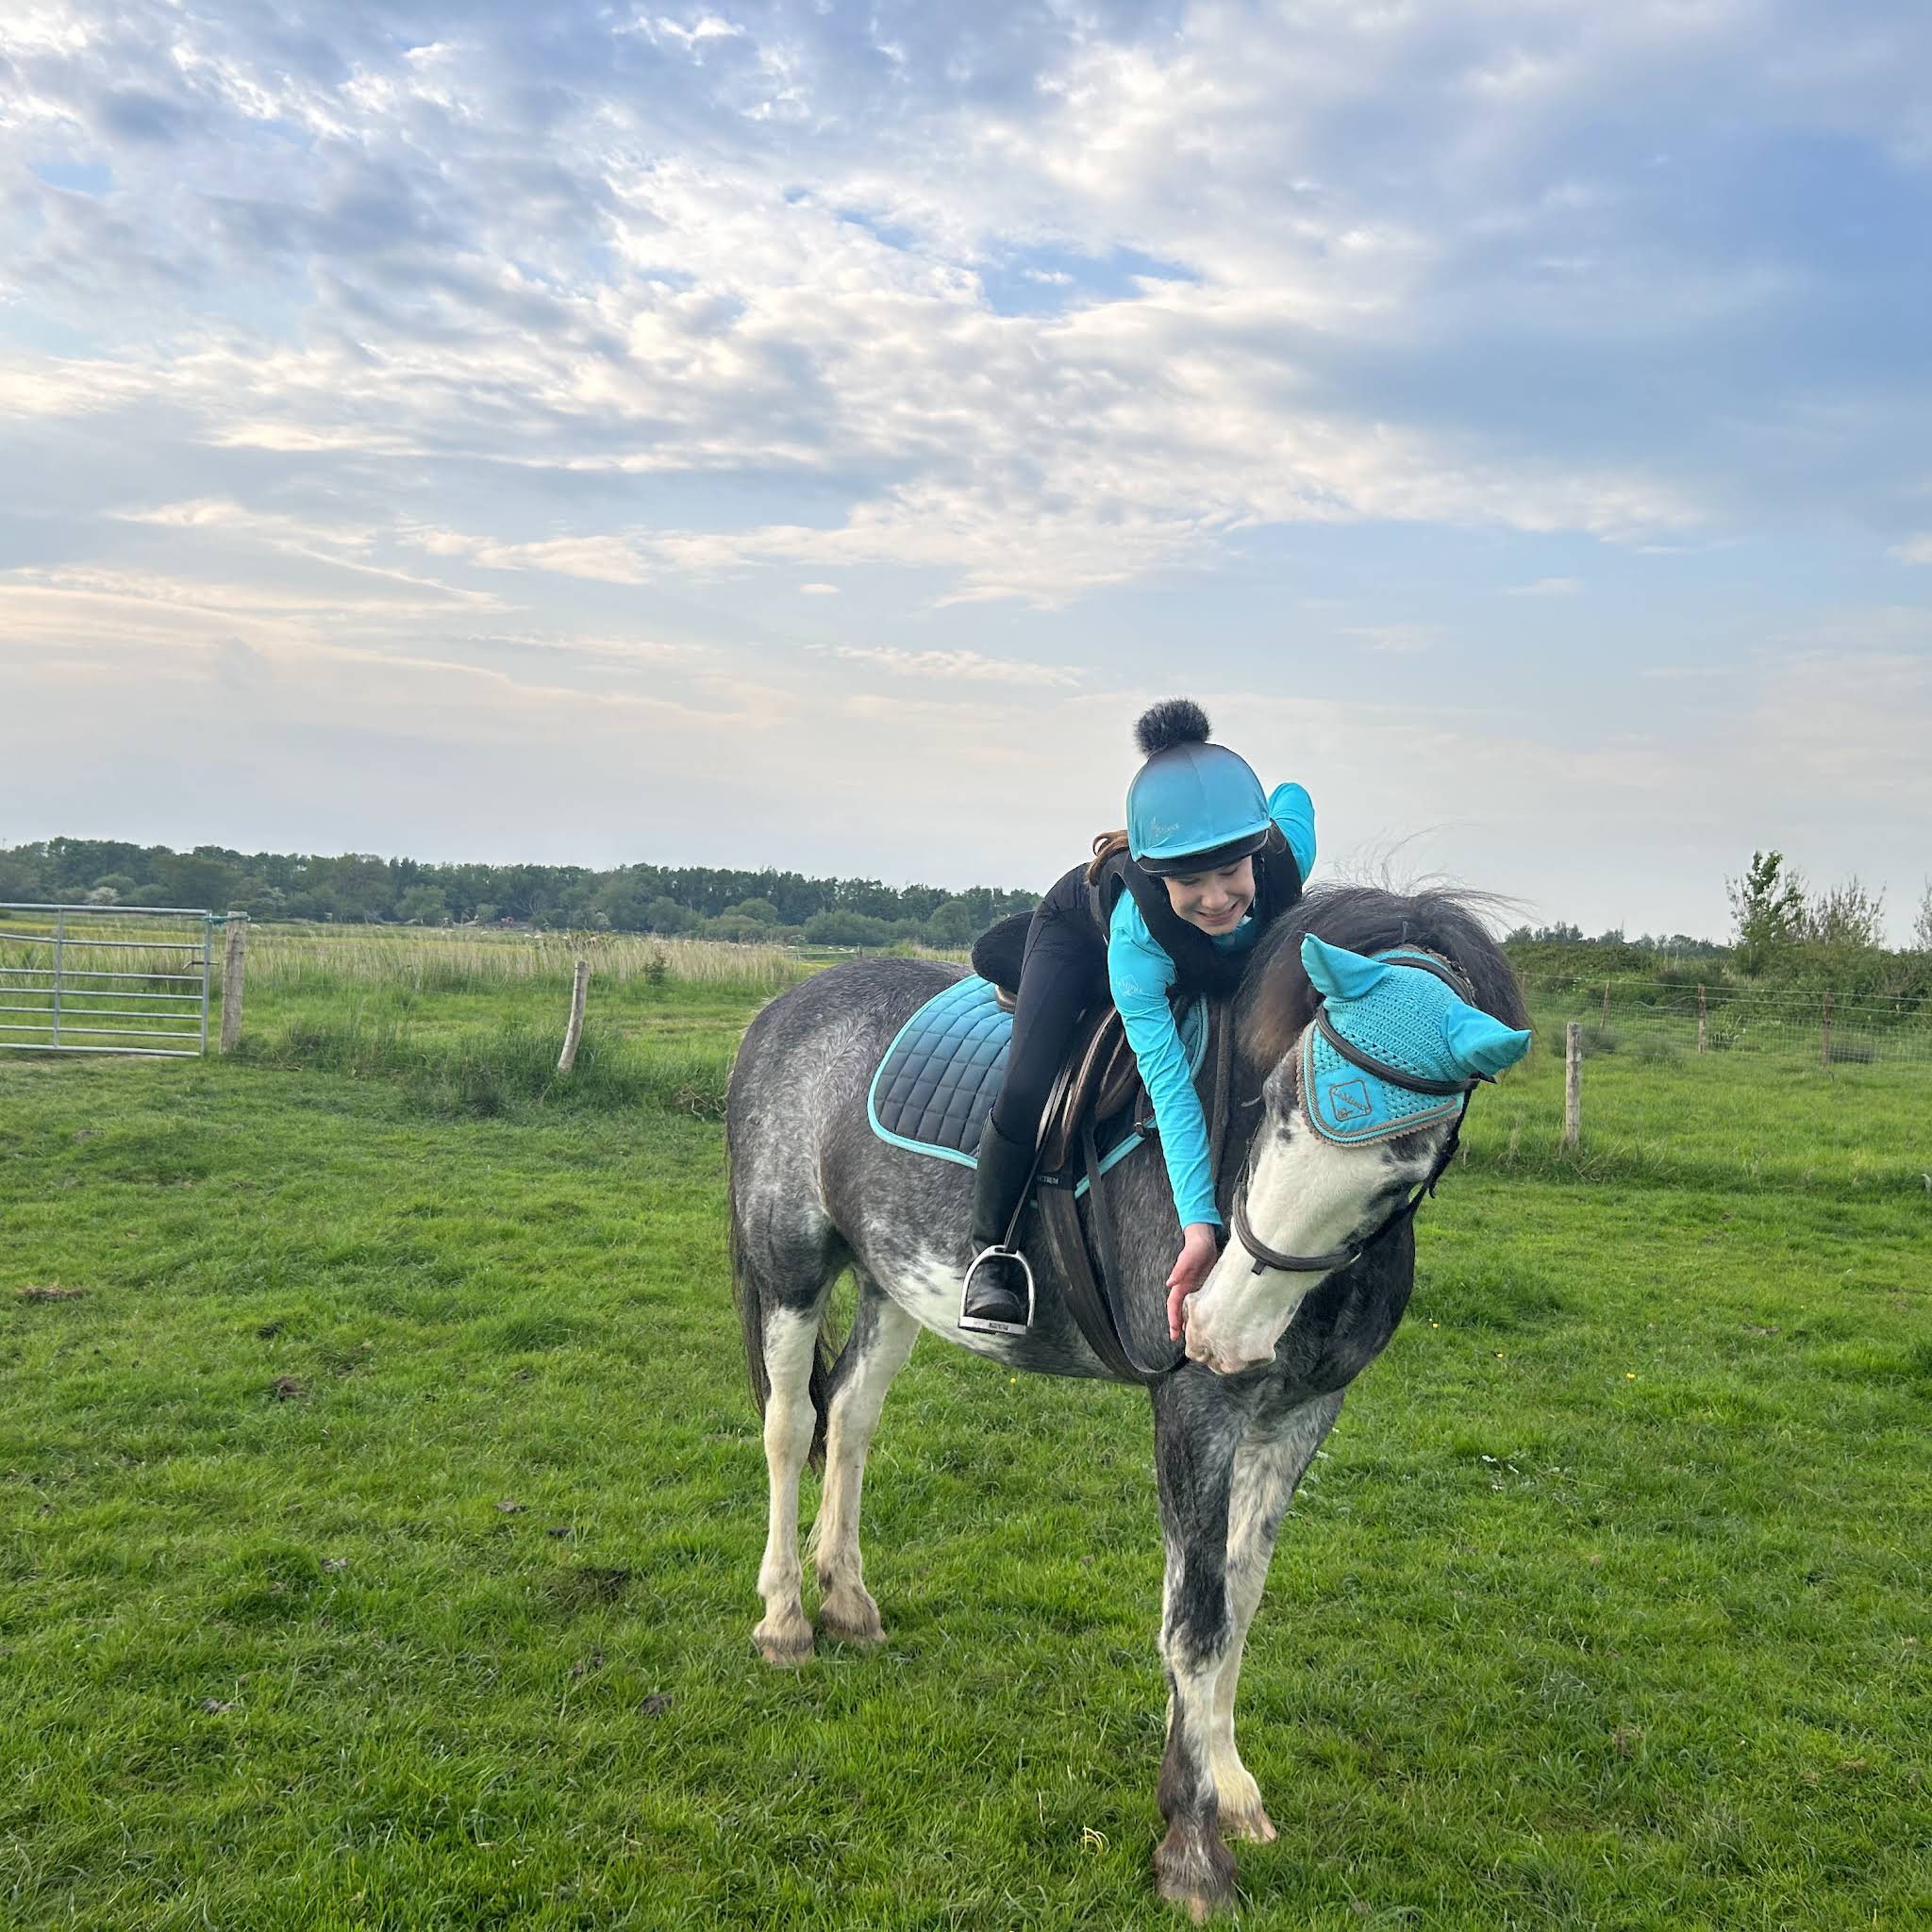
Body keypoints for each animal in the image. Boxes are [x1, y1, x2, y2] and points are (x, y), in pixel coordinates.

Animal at [725, 884, 1530, 1918]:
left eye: (1406, 1164)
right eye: (1275, 1103)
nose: (1218, 1323)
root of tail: (785, 1007)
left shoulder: (1301, 1416)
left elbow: (1237, 1596)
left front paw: (1229, 1787)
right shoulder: (1196, 1410)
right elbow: (1195, 1619)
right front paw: (1190, 1845)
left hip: (892, 1280)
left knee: (853, 1417)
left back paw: (849, 1600)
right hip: (788, 1269)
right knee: (791, 1427)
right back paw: (786, 1618)